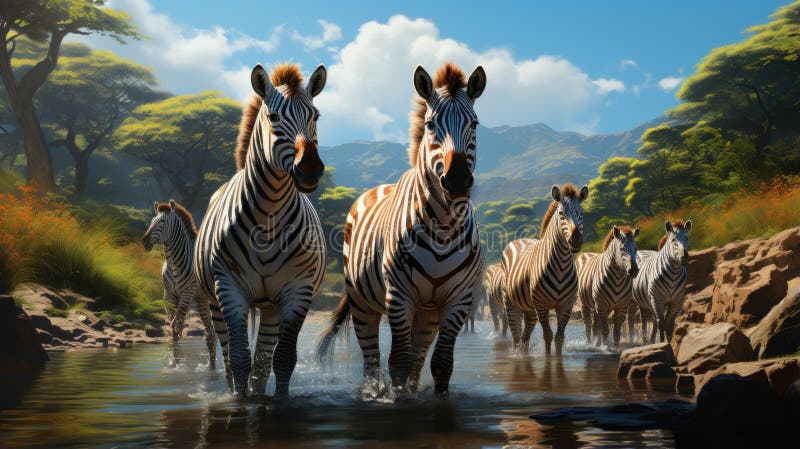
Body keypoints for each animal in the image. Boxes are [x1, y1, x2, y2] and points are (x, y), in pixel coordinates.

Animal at [142, 200, 217, 365]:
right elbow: (174, 330)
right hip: (202, 300)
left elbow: (177, 322)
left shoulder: (187, 292)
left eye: (162, 222)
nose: (144, 241)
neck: (174, 264)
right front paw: (174, 361)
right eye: (151, 221)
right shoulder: (169, 296)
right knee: (211, 334)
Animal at [193, 63, 328, 398]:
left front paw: (276, 401)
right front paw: (240, 401)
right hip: (215, 301)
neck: (269, 213)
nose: (310, 170)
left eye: (316, 116)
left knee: (264, 359)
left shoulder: (298, 290)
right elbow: (240, 358)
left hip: (271, 306)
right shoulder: (230, 288)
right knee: (228, 355)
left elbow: (282, 359)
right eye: (273, 117)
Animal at [317, 63, 487, 398]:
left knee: (418, 357)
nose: (457, 181)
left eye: (474, 124)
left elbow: (441, 363)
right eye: (431, 124)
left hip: (427, 311)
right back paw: (372, 392)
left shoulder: (458, 300)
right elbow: (397, 360)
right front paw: (398, 400)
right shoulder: (398, 295)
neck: (444, 226)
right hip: (363, 303)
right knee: (372, 358)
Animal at [502, 184, 589, 356]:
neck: (561, 265)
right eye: (561, 214)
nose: (575, 241)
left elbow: (559, 337)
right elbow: (548, 335)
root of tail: (519, 239)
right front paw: (548, 360)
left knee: (525, 338)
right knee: (516, 338)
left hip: (529, 308)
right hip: (510, 302)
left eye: (582, 213)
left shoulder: (566, 305)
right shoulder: (541, 305)